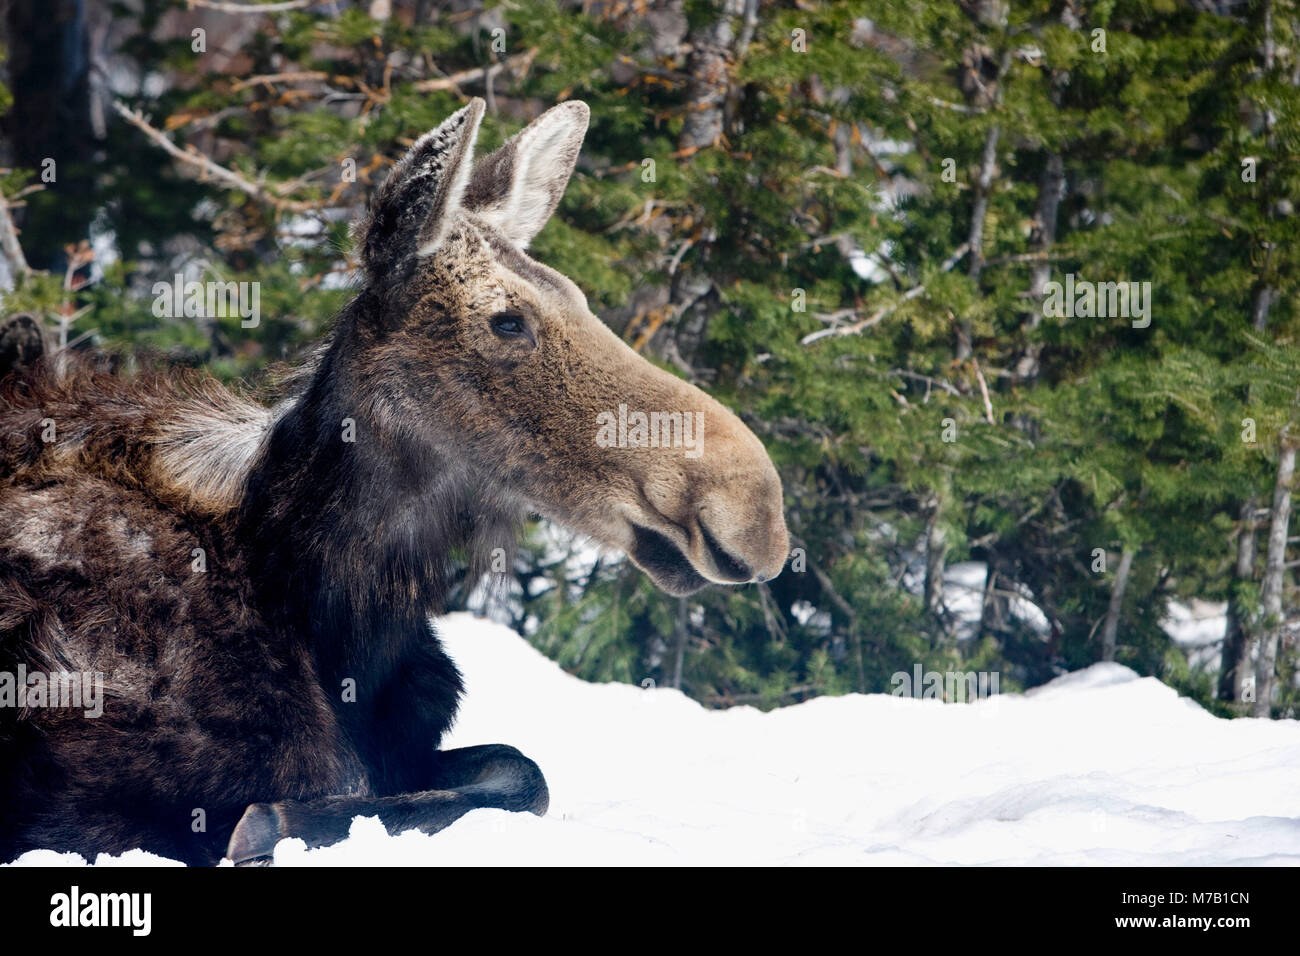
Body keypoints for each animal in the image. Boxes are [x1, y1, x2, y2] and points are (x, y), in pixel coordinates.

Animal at [0, 99, 789, 865]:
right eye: (507, 321)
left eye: (578, 297)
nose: (755, 511)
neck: (333, 616)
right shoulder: (101, 801)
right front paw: (269, 824)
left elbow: (520, 769)